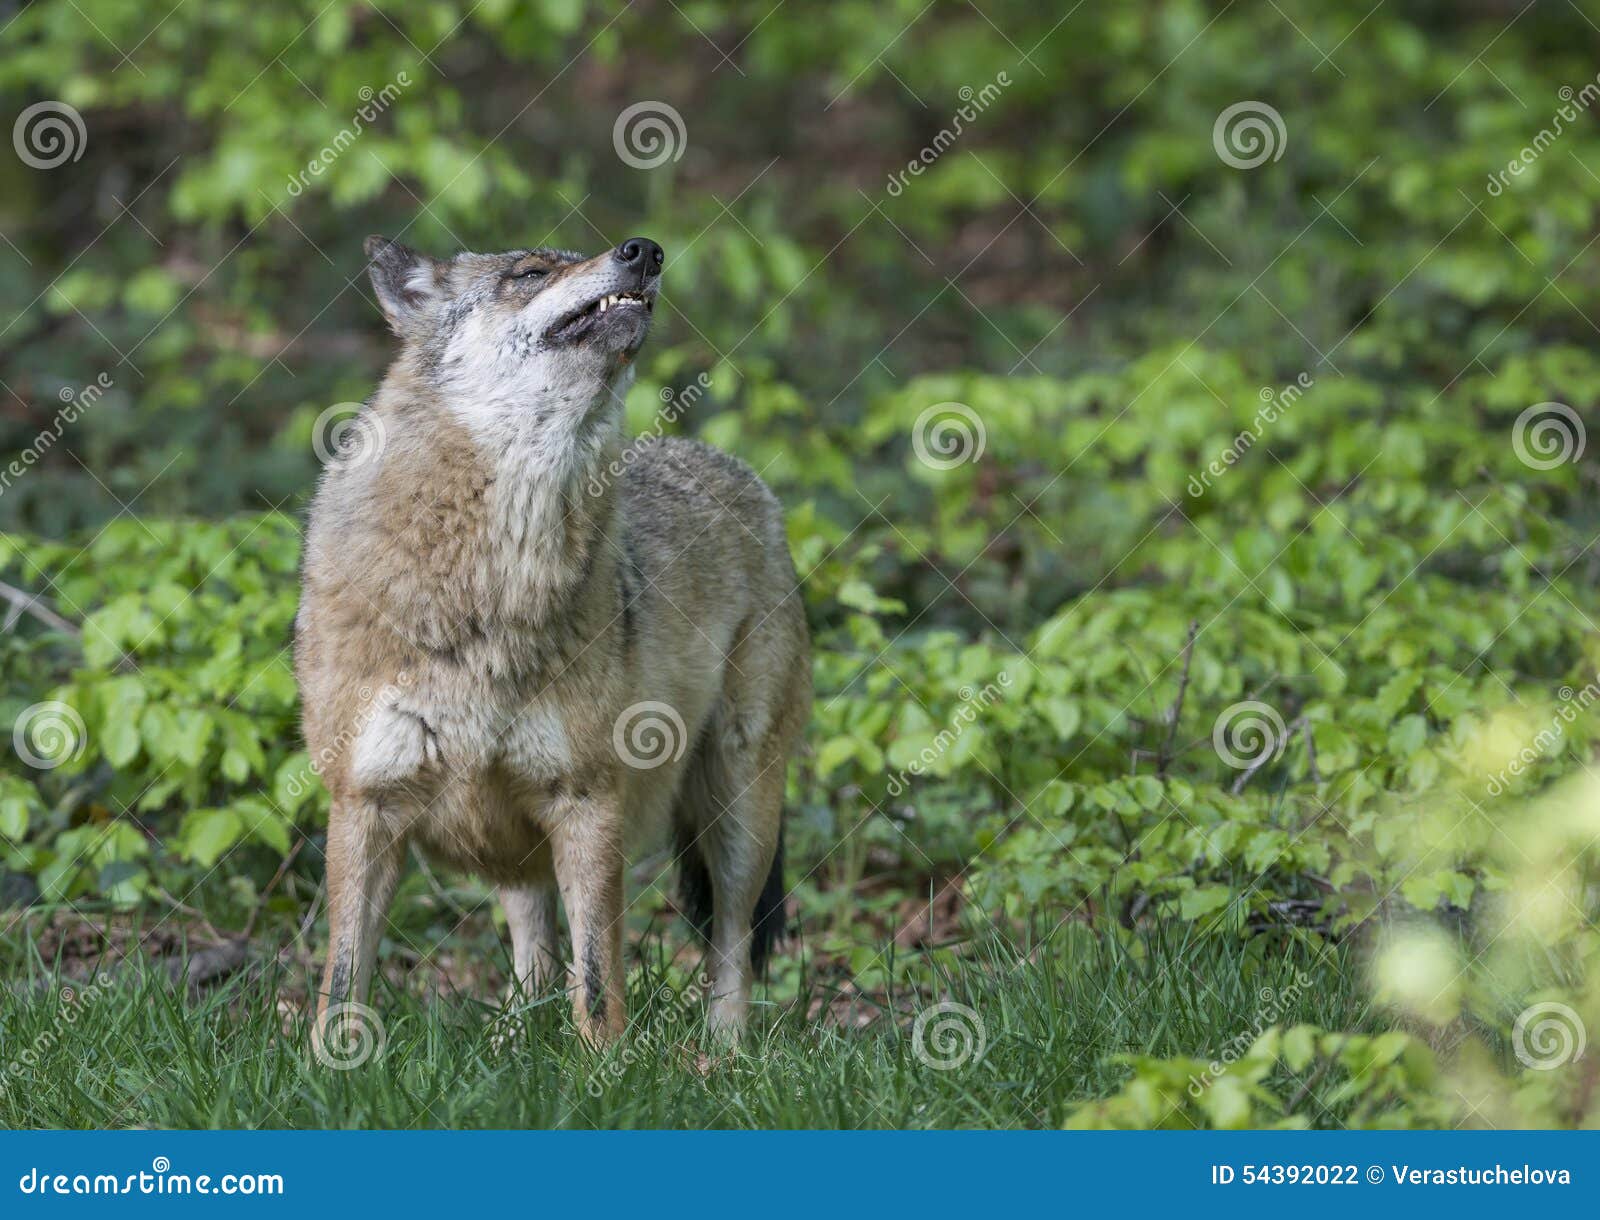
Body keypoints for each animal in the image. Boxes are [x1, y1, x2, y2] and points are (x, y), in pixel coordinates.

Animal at [294, 233, 811, 1046]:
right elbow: (342, 979)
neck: (491, 584)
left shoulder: (587, 803)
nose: (644, 250)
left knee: (730, 951)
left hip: (738, 809)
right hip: (512, 831)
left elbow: (598, 983)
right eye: (531, 273)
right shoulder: (363, 803)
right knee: (532, 957)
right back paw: (512, 1042)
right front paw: (329, 1063)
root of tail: (742, 476)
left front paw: (605, 1067)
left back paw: (724, 1056)